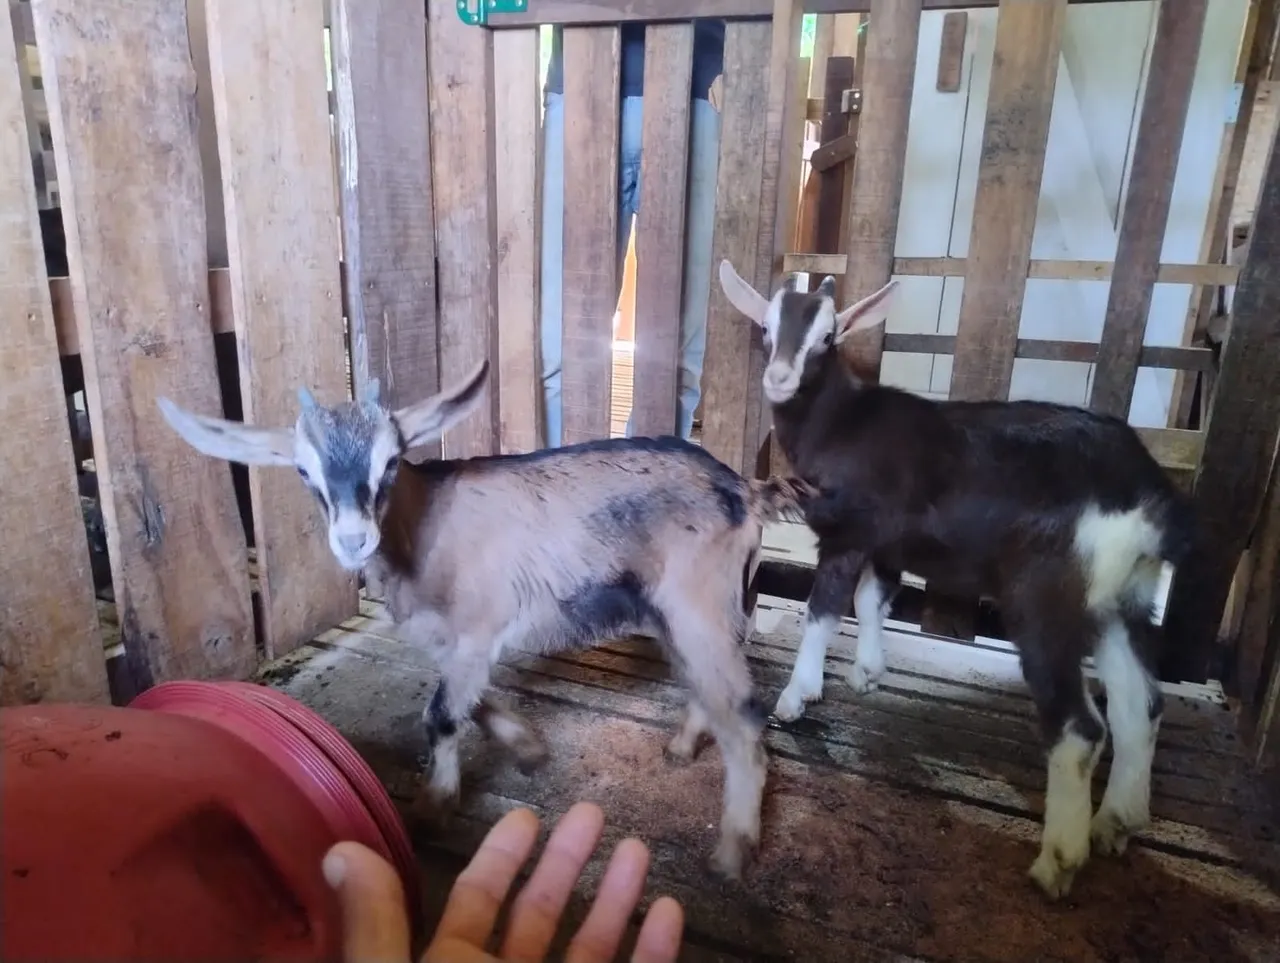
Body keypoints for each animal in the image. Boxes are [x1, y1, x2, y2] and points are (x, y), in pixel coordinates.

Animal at [156, 360, 814, 879]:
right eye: (302, 470)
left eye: (390, 462)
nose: (353, 539)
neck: (421, 528)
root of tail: (745, 489)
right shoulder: (451, 640)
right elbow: (470, 701)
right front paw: (529, 748)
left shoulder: (478, 627)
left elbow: (442, 715)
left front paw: (433, 805)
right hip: (681, 611)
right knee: (712, 687)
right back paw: (682, 747)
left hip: (696, 603)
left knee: (745, 718)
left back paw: (732, 852)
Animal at [718, 260, 1196, 900]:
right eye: (767, 328)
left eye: (828, 337)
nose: (779, 376)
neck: (842, 423)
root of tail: (1148, 494)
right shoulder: (887, 543)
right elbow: (874, 599)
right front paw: (869, 671)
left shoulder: (848, 531)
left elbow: (824, 610)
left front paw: (798, 696)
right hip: (1122, 596)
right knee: (1139, 702)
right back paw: (1116, 822)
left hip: (1046, 596)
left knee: (1079, 728)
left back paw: (1058, 861)